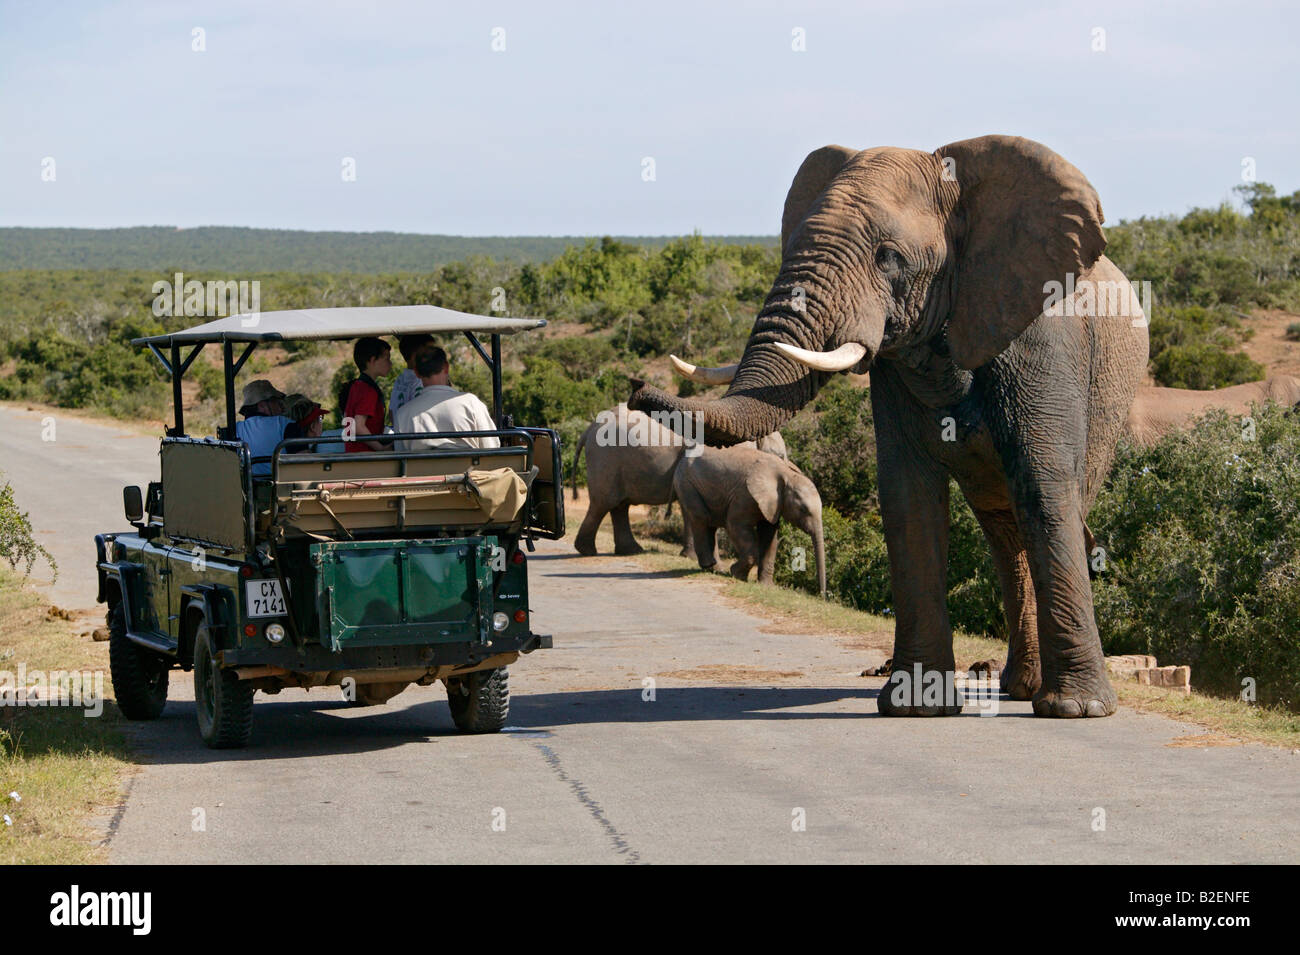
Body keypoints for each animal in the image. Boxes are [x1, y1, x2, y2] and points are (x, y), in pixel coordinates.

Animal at [571, 403, 786, 556]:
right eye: (780, 456)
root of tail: (589, 428)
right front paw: (693, 557)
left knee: (619, 505)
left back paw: (631, 551)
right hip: (605, 457)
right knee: (603, 503)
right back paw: (588, 551)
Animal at [674, 445, 827, 597]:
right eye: (803, 509)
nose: (822, 596)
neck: (786, 474)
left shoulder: (773, 504)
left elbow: (769, 537)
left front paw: (767, 586)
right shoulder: (744, 496)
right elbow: (734, 525)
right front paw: (736, 574)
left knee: (710, 524)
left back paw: (715, 569)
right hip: (687, 483)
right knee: (701, 519)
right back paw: (709, 565)